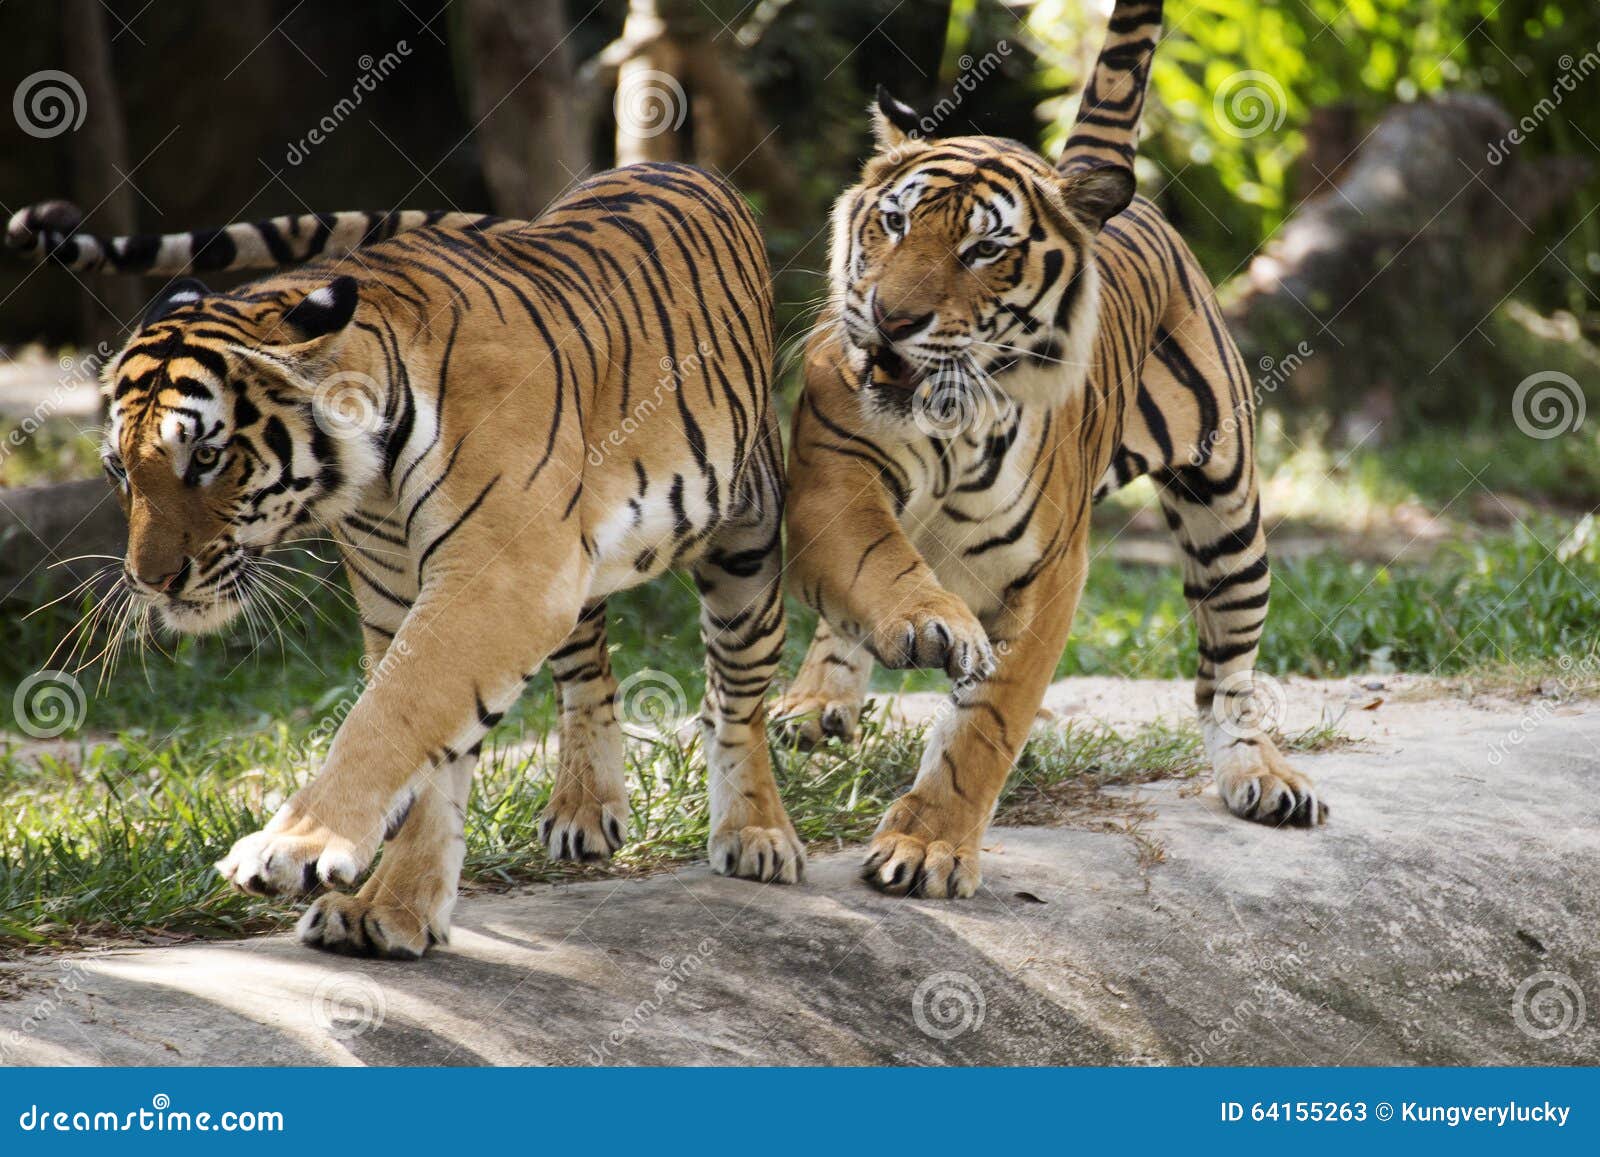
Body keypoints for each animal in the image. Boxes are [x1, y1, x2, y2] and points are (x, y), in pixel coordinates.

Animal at [6, 162, 803, 958]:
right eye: (118, 468)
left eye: (205, 456)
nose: (152, 581)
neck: (370, 479)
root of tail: (670, 166)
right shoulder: (416, 595)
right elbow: (430, 757)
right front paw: (389, 911)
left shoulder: (498, 578)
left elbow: (388, 717)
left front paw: (292, 848)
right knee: (588, 669)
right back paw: (585, 808)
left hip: (746, 545)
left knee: (736, 696)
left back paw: (757, 833)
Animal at [774, 0, 1325, 900]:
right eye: (892, 223)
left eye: (984, 250)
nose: (890, 319)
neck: (951, 420)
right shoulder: (833, 477)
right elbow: (878, 567)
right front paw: (926, 626)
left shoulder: (1050, 573)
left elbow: (986, 725)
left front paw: (927, 846)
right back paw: (814, 704)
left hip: (1229, 512)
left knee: (1228, 677)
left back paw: (1262, 775)